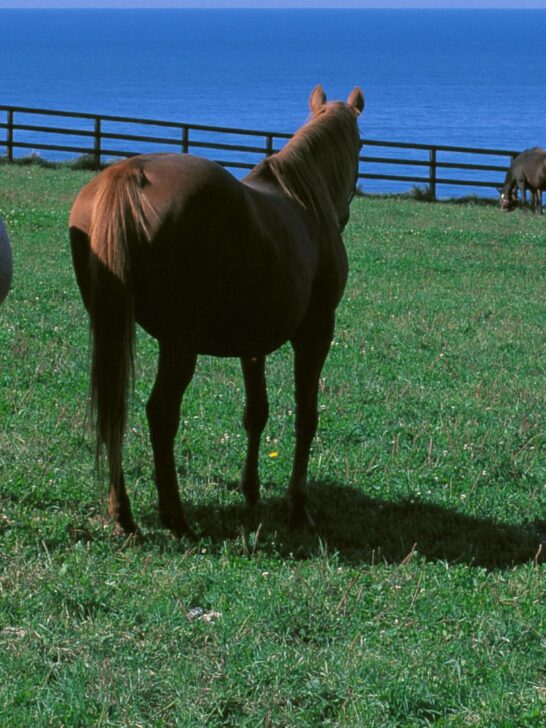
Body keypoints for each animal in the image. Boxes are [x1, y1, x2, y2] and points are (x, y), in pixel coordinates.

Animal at [69, 84, 365, 537]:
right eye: (362, 144)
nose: (346, 213)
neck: (302, 198)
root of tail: (129, 174)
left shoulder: (253, 344)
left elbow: (256, 413)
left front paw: (251, 489)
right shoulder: (315, 333)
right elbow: (306, 417)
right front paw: (298, 507)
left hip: (111, 328)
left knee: (113, 408)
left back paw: (123, 512)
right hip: (179, 343)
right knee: (160, 413)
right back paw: (174, 515)